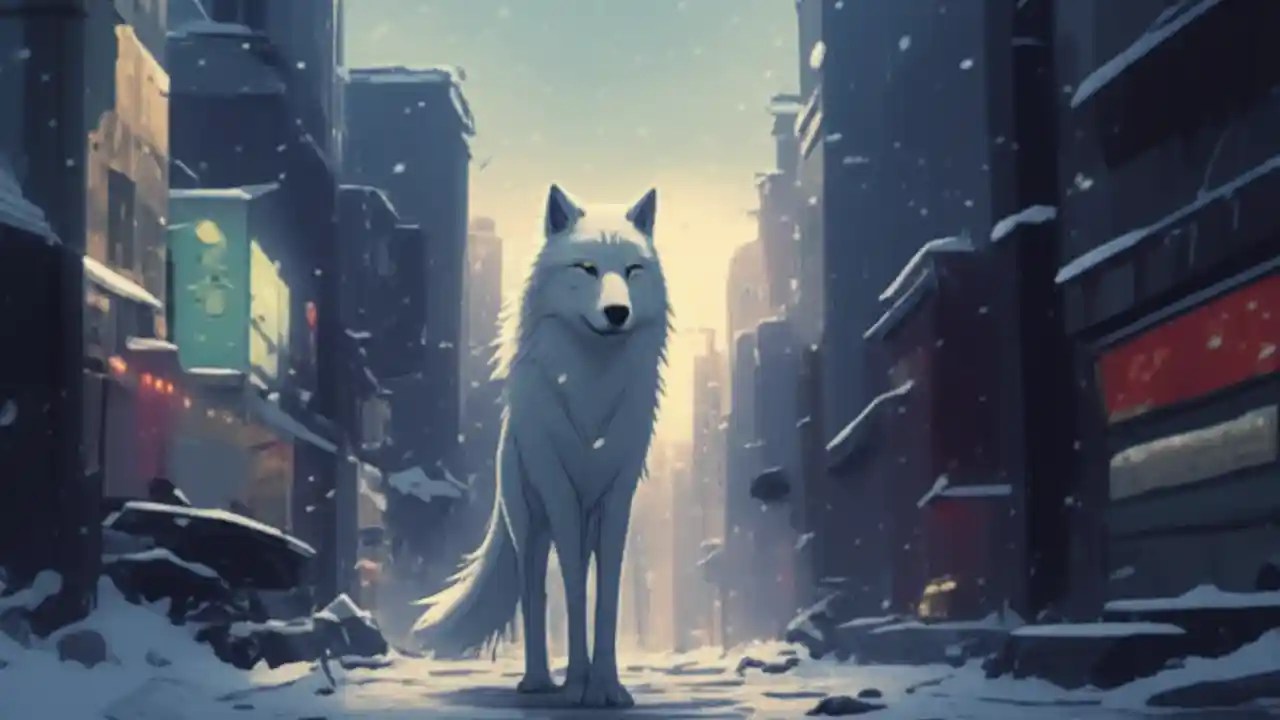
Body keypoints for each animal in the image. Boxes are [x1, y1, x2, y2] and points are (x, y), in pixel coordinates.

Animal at [413, 184, 669, 708]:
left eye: (633, 270)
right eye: (586, 268)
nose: (617, 313)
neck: (592, 382)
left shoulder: (617, 497)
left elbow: (606, 592)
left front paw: (608, 687)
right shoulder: (560, 490)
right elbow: (570, 587)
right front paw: (576, 687)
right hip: (528, 522)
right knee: (535, 592)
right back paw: (537, 681)